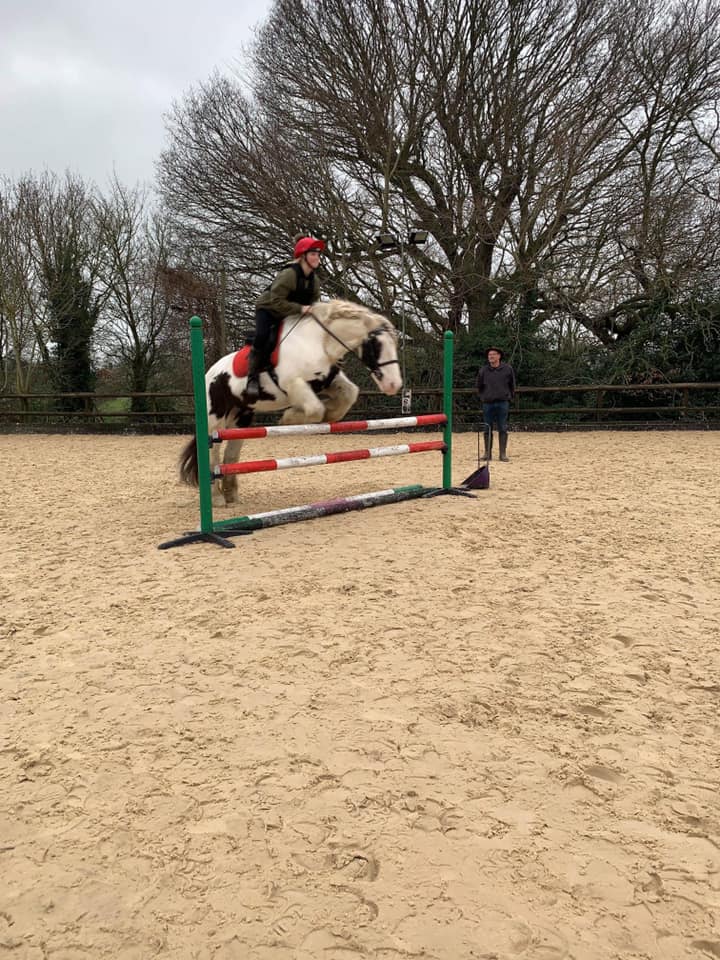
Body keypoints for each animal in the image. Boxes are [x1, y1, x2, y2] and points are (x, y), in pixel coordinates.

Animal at [178, 298, 403, 504]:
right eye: (376, 345)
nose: (394, 385)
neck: (319, 342)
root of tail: (208, 374)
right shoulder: (293, 383)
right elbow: (314, 409)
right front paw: (289, 418)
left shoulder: (327, 380)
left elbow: (349, 394)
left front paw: (330, 414)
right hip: (214, 420)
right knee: (212, 455)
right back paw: (217, 498)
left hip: (241, 418)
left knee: (231, 455)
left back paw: (231, 495)